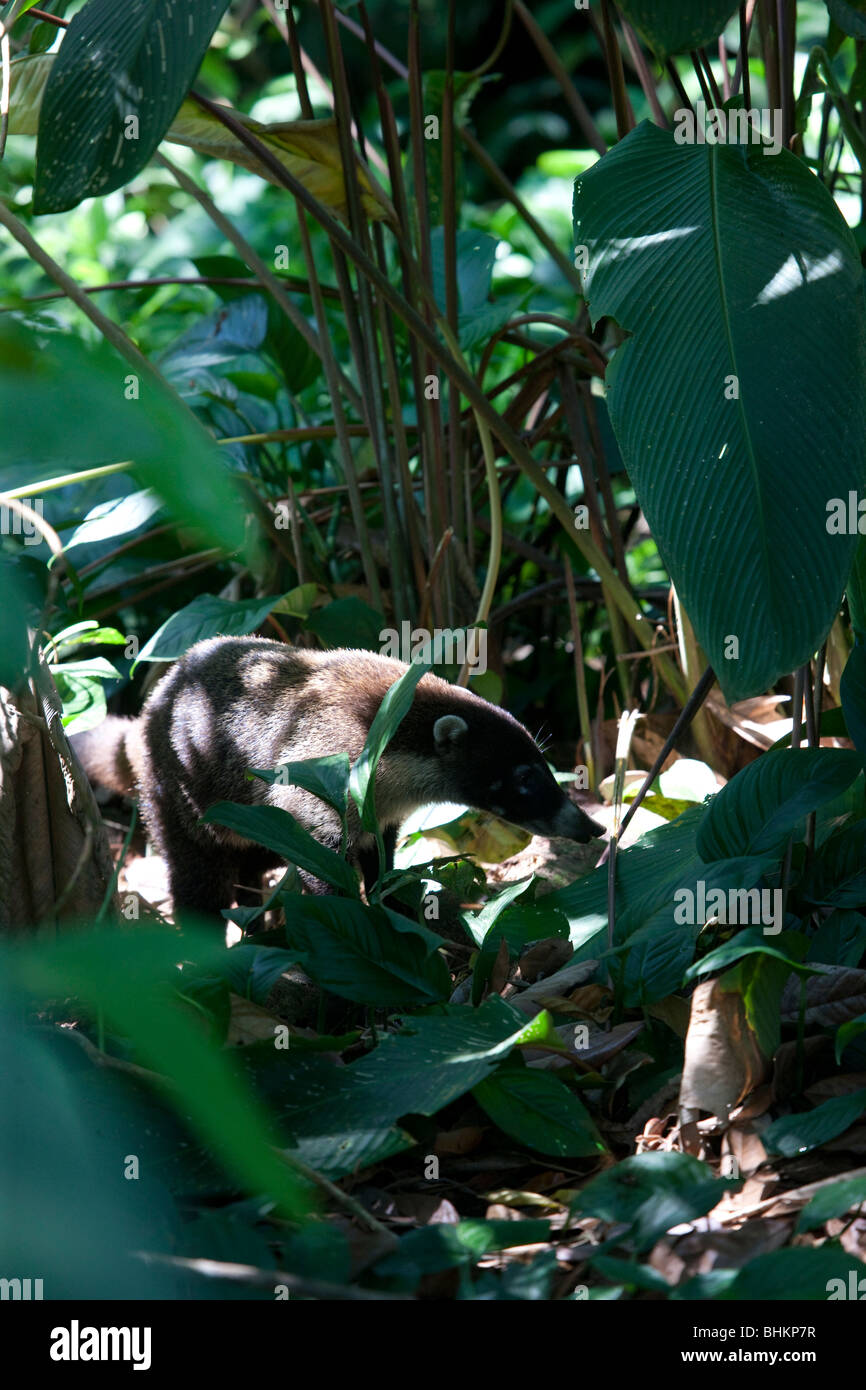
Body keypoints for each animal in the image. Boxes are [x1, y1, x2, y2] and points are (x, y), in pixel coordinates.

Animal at [71, 636, 604, 921]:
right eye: (524, 777)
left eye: (542, 765)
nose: (593, 827)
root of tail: (145, 718)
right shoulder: (319, 774)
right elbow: (320, 857)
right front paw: (349, 910)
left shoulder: (381, 817)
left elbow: (381, 856)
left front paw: (395, 900)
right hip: (176, 799)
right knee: (197, 878)